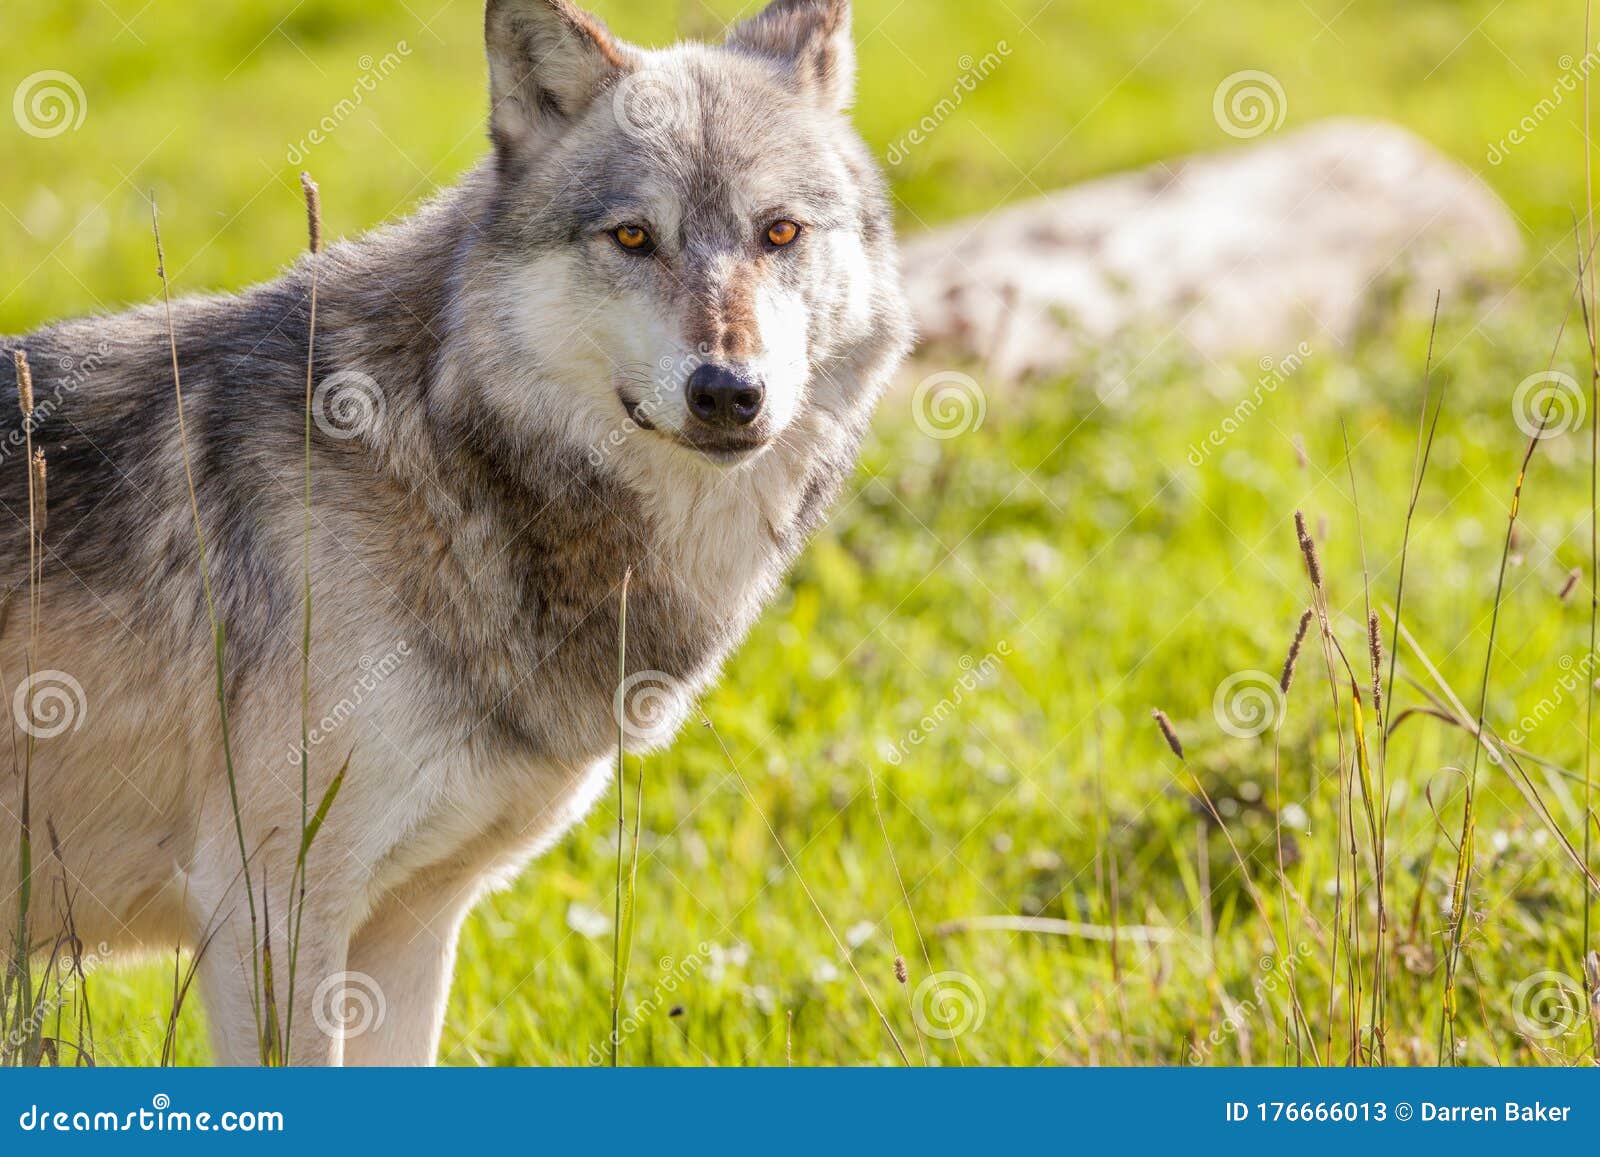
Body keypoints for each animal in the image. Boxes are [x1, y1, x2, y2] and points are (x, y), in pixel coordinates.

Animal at [0, 0, 910, 1065]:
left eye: (780, 232)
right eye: (633, 235)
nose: (728, 391)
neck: (442, 471)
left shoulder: (415, 920)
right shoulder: (272, 914)